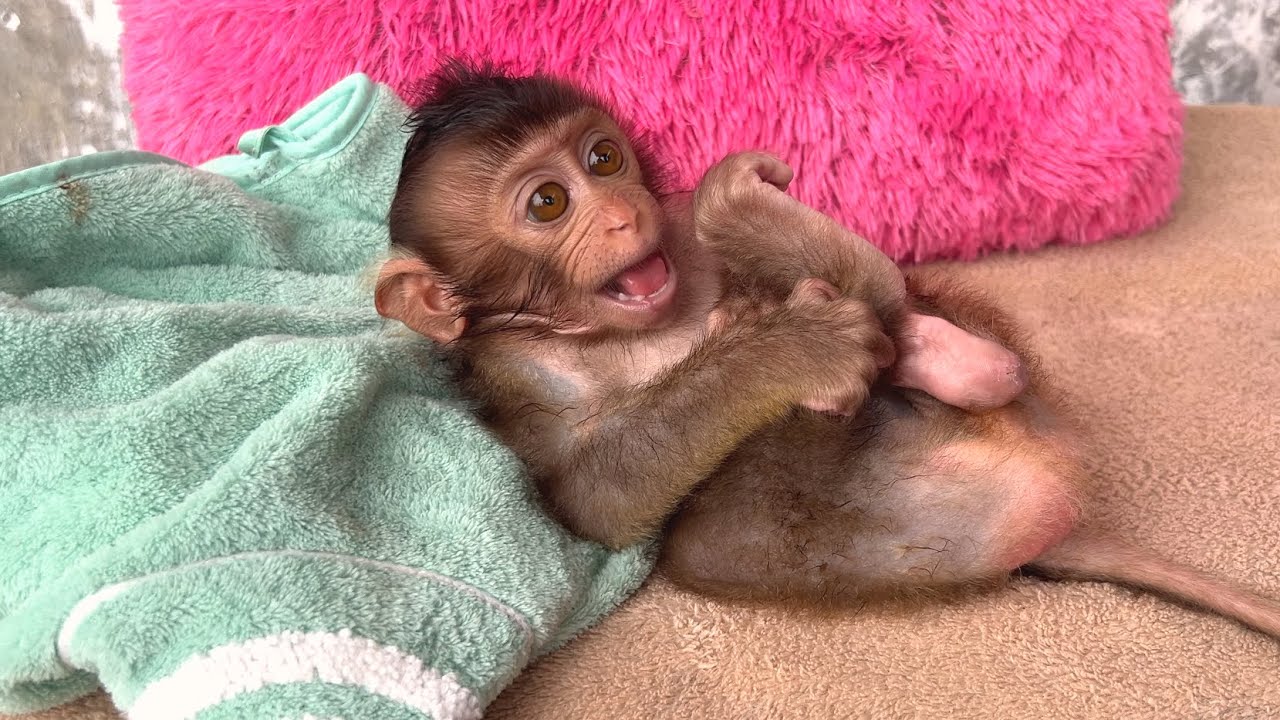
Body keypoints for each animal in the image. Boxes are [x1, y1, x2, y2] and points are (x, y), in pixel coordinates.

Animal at [375, 62, 1280, 641]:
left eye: (604, 157)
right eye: (549, 203)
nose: (626, 213)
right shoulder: (514, 378)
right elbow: (594, 497)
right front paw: (786, 349)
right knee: (716, 530)